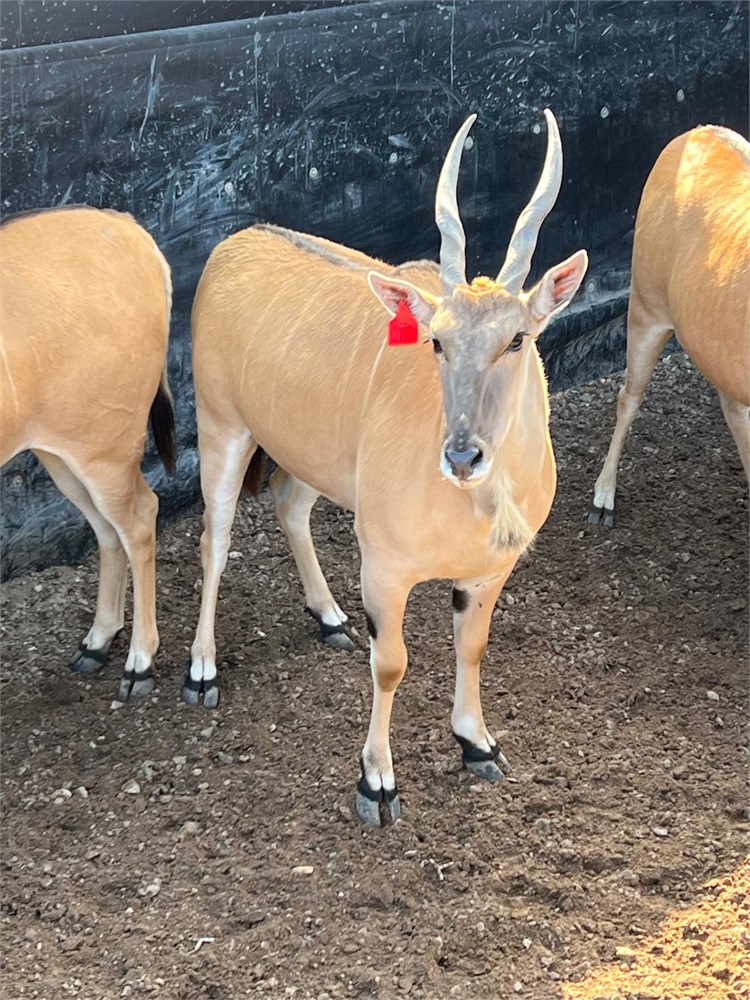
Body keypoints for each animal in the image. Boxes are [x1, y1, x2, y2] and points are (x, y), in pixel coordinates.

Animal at [0, 206, 175, 701]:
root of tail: (132, 231)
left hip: (105, 449)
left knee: (138, 518)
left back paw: (139, 662)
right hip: (61, 452)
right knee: (106, 530)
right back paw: (97, 642)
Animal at [188, 111, 588, 824]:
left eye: (517, 338)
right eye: (437, 340)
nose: (462, 455)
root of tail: (235, 242)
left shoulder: (488, 571)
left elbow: (471, 645)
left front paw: (477, 744)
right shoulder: (384, 566)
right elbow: (391, 664)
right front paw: (376, 781)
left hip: (312, 458)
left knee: (289, 506)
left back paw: (328, 617)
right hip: (222, 428)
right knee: (216, 537)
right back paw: (201, 669)